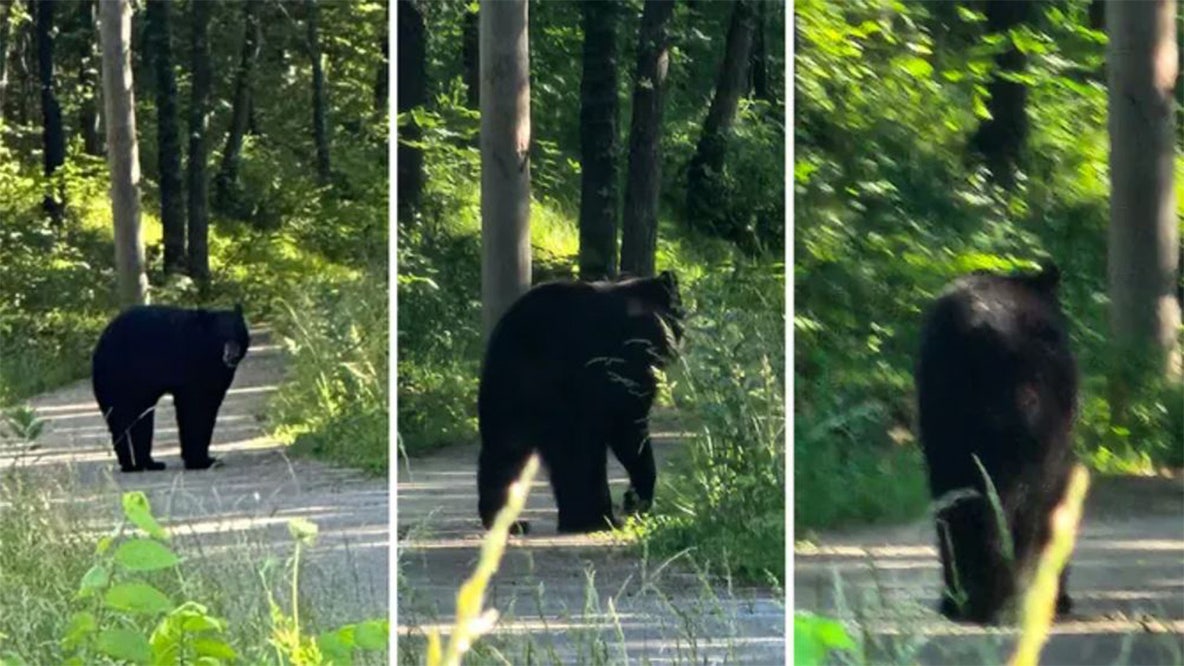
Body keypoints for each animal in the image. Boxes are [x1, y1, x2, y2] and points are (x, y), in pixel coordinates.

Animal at [92, 304, 251, 472]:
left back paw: (149, 463)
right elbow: (195, 409)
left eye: (237, 332)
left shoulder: (215, 377)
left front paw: (208, 458)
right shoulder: (192, 368)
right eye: (220, 336)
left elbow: (209, 408)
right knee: (124, 417)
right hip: (120, 377)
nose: (231, 355)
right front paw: (199, 461)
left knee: (141, 421)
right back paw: (133, 465)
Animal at [477, 270, 684, 534]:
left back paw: (509, 521)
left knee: (504, 453)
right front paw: (636, 498)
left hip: (504, 392)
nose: (681, 333)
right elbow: (629, 427)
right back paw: (594, 519)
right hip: (562, 394)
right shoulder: (632, 358)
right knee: (579, 453)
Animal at [916, 263, 1078, 624]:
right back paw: (1008, 597)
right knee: (1017, 507)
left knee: (957, 503)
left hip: (946, 422)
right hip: (1028, 422)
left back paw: (961, 598)